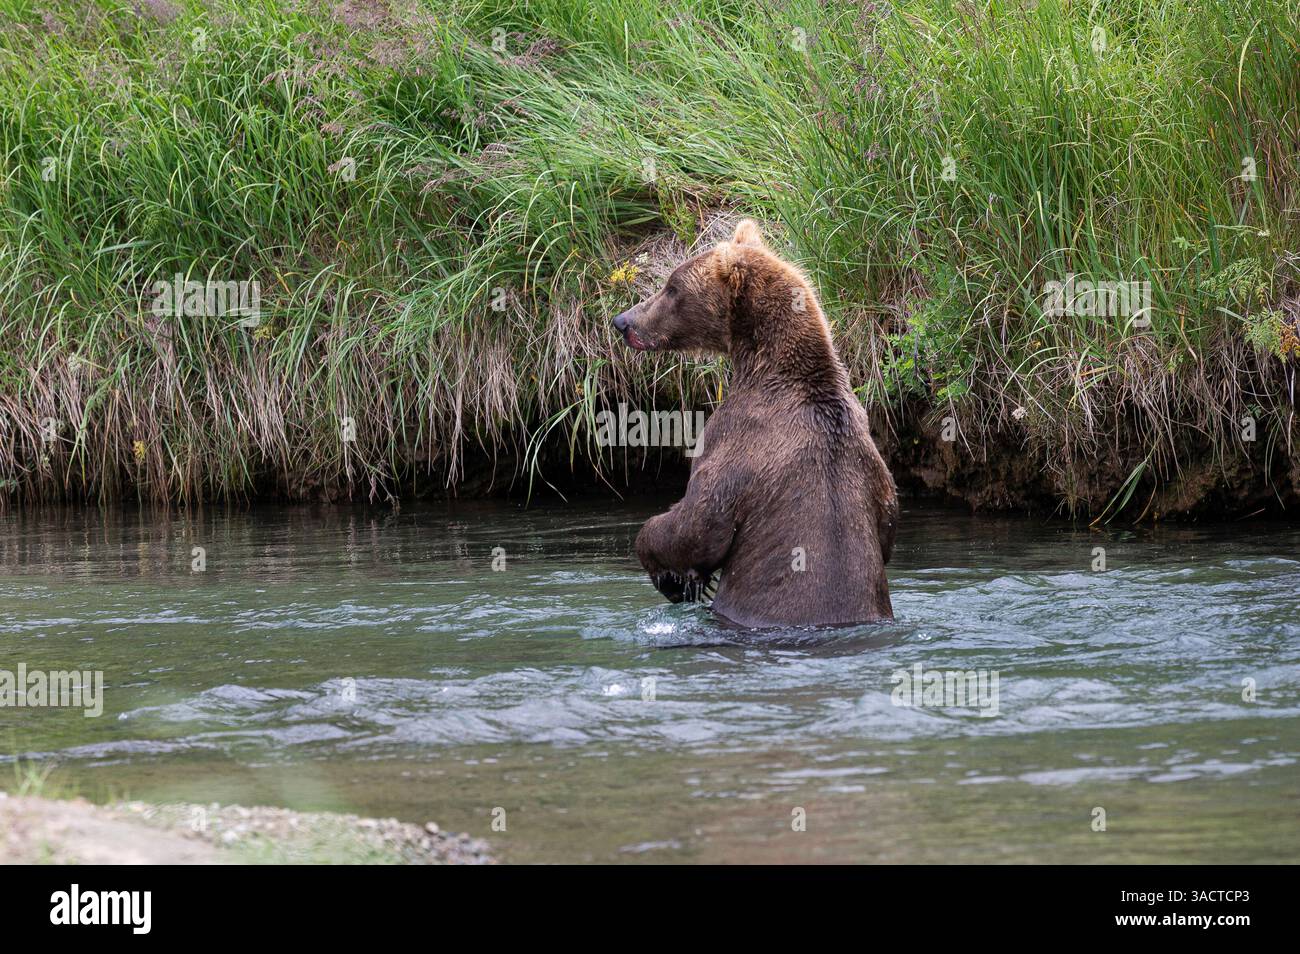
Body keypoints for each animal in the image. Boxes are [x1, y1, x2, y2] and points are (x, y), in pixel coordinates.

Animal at [612, 219, 898, 627]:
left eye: (672, 287)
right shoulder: (871, 457)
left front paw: (676, 577)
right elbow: (888, 522)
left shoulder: (736, 434)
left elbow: (700, 523)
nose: (622, 321)